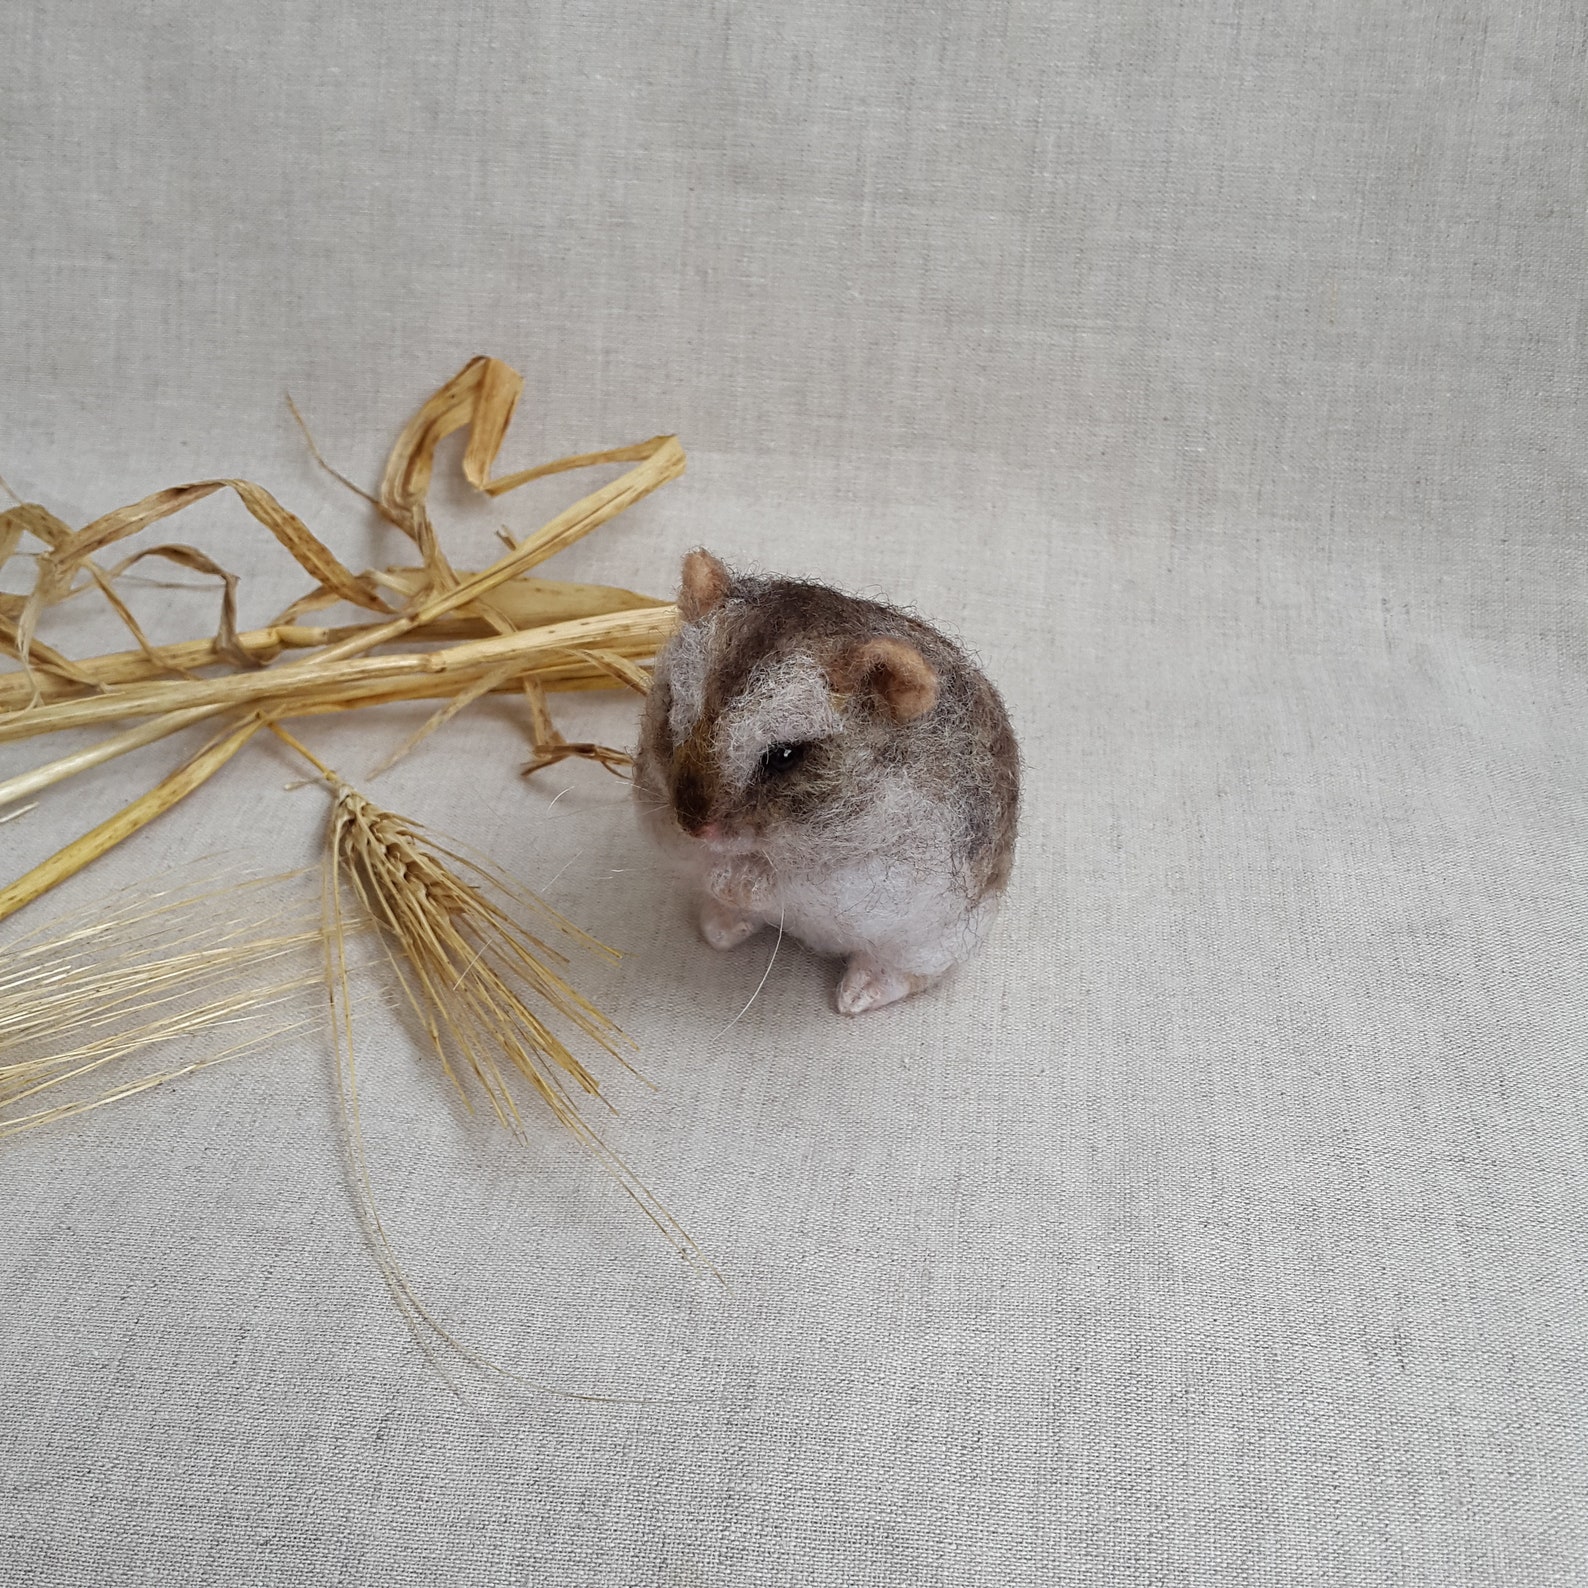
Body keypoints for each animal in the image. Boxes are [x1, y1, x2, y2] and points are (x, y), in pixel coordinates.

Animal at [633, 549, 1020, 1014]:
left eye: (785, 756)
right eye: (673, 708)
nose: (692, 825)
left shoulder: (870, 879)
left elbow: (783, 882)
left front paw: (737, 879)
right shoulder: (653, 808)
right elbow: (689, 854)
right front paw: (716, 873)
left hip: (933, 944)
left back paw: (860, 992)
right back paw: (721, 926)